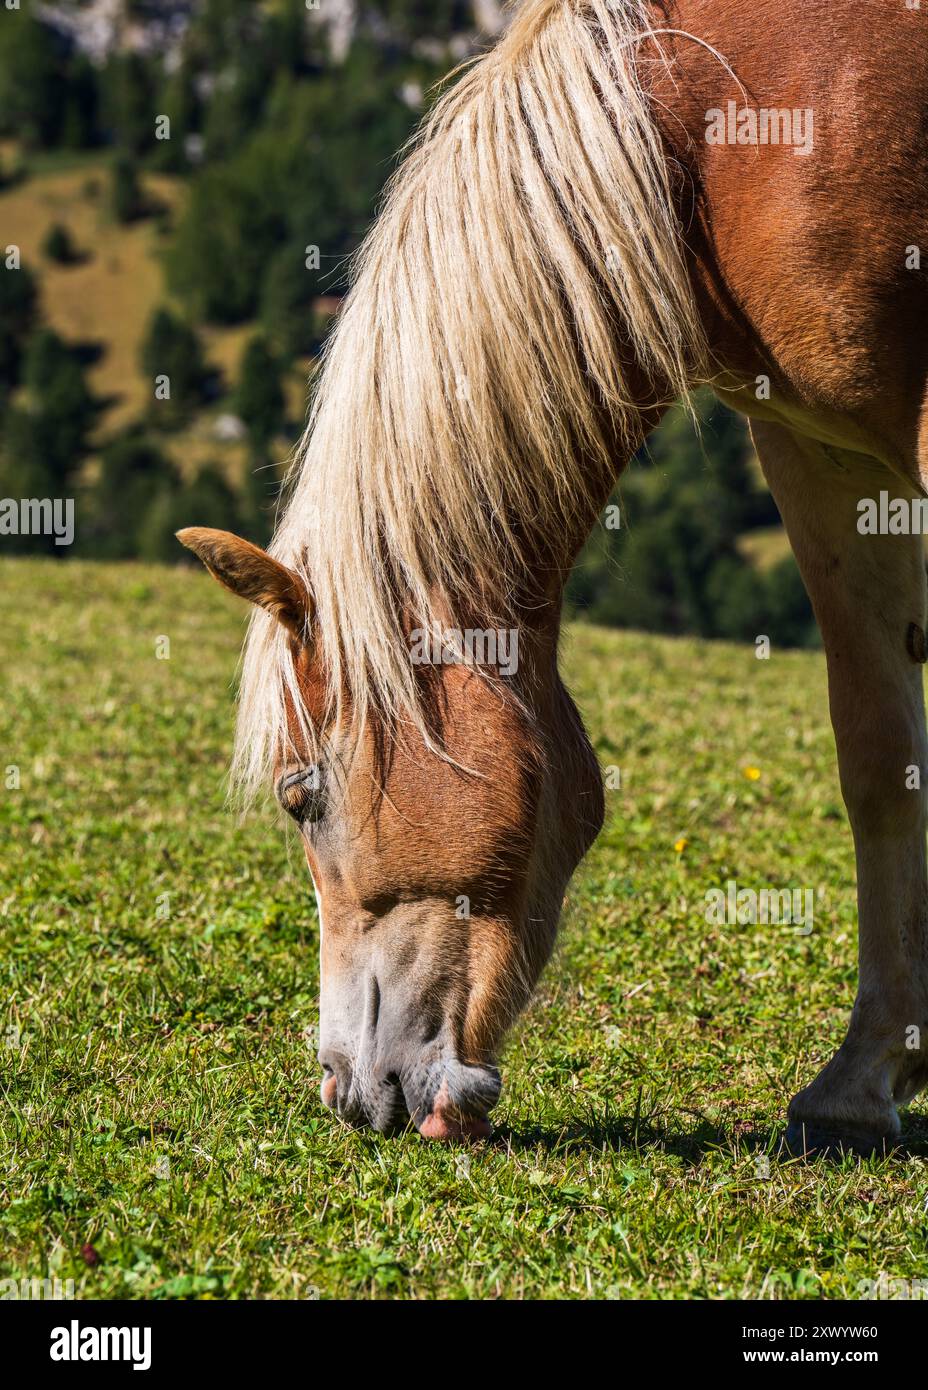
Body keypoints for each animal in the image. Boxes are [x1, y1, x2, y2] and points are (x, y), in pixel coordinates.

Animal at [179, 0, 928, 1152]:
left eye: (300, 798)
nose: (350, 1092)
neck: (722, 129)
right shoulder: (821, 455)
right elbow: (881, 757)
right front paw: (864, 1076)